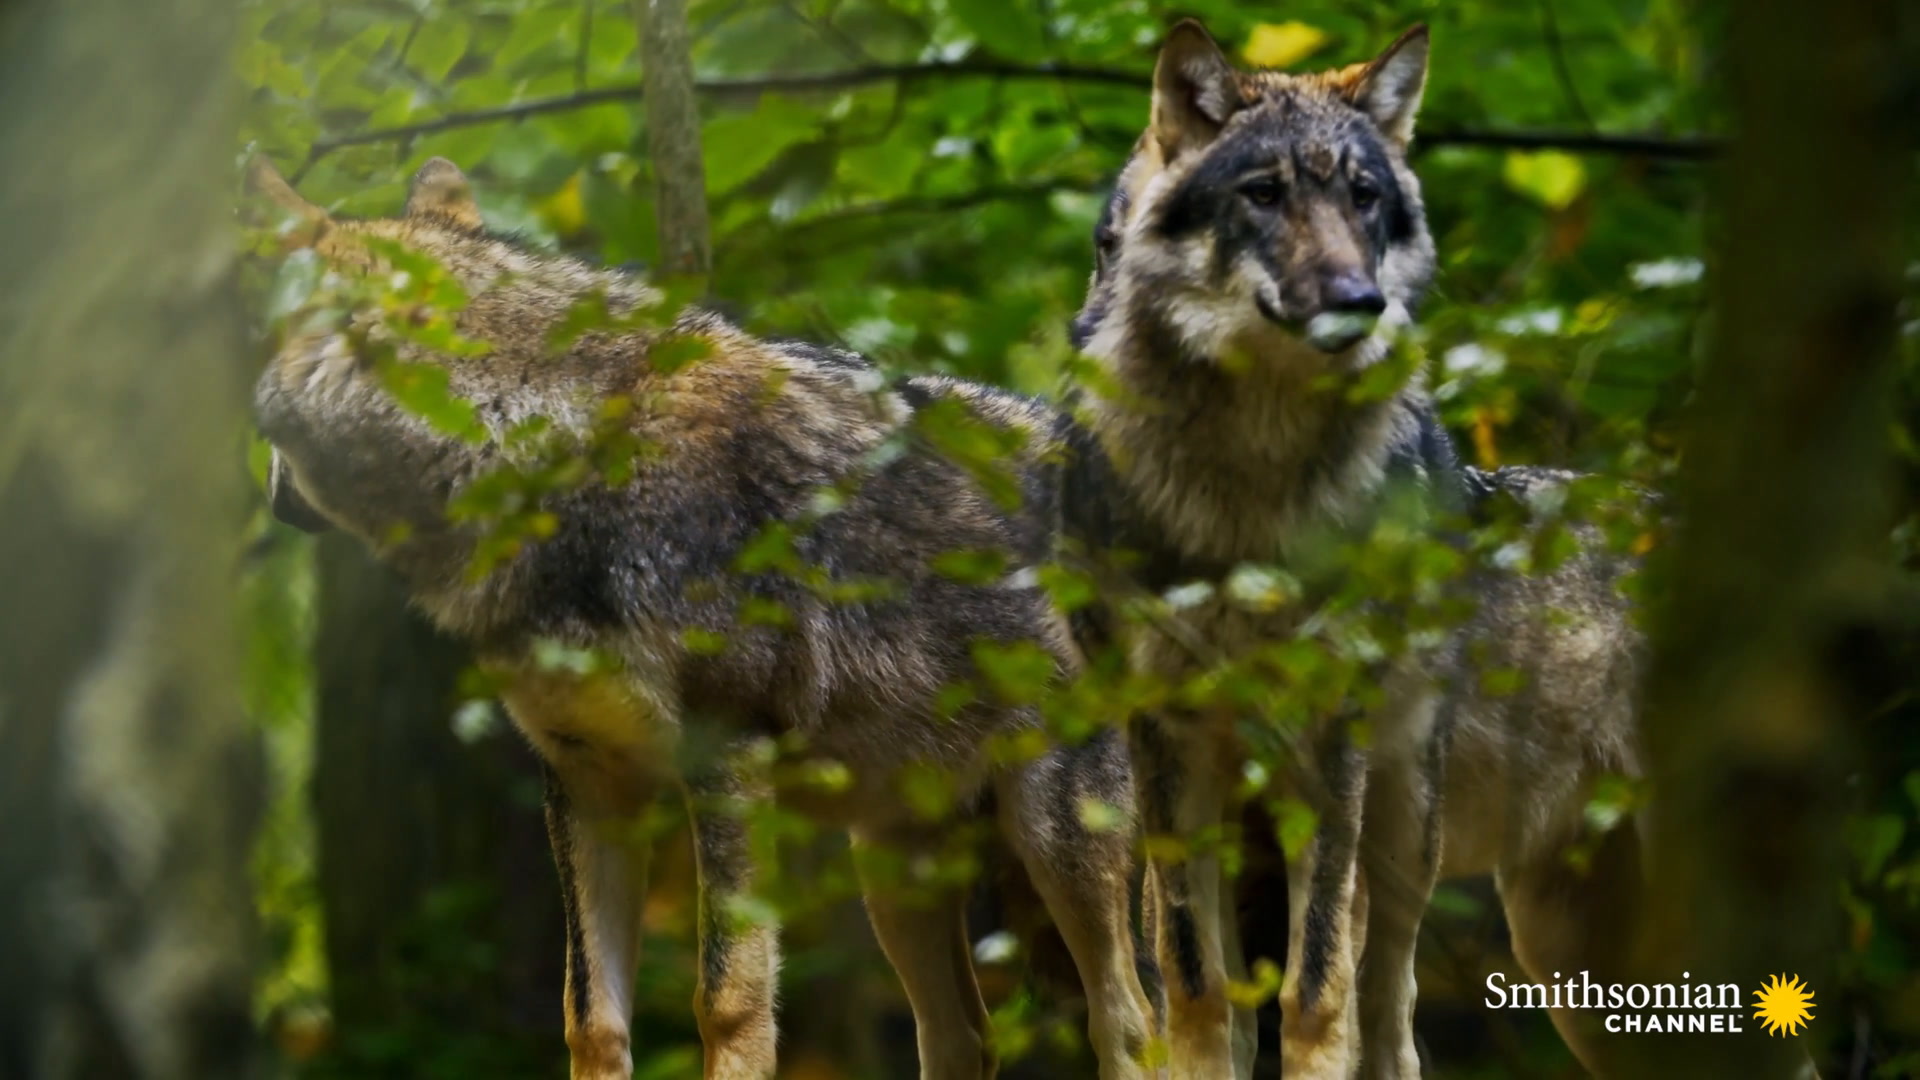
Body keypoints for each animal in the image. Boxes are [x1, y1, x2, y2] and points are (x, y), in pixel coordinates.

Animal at [249, 157, 1160, 1080]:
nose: (274, 500)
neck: (549, 456)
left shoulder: (726, 757)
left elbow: (726, 1001)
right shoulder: (588, 782)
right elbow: (589, 1018)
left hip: (1059, 844)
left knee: (1132, 1022)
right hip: (892, 870)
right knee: (963, 1035)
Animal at [1063, 21, 1649, 1079]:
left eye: (1363, 198)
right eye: (1263, 193)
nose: (1358, 298)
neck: (1245, 486)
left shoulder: (1329, 738)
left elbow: (1315, 984)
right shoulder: (1168, 740)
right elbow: (1198, 988)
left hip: (1418, 828)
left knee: (1390, 1009)